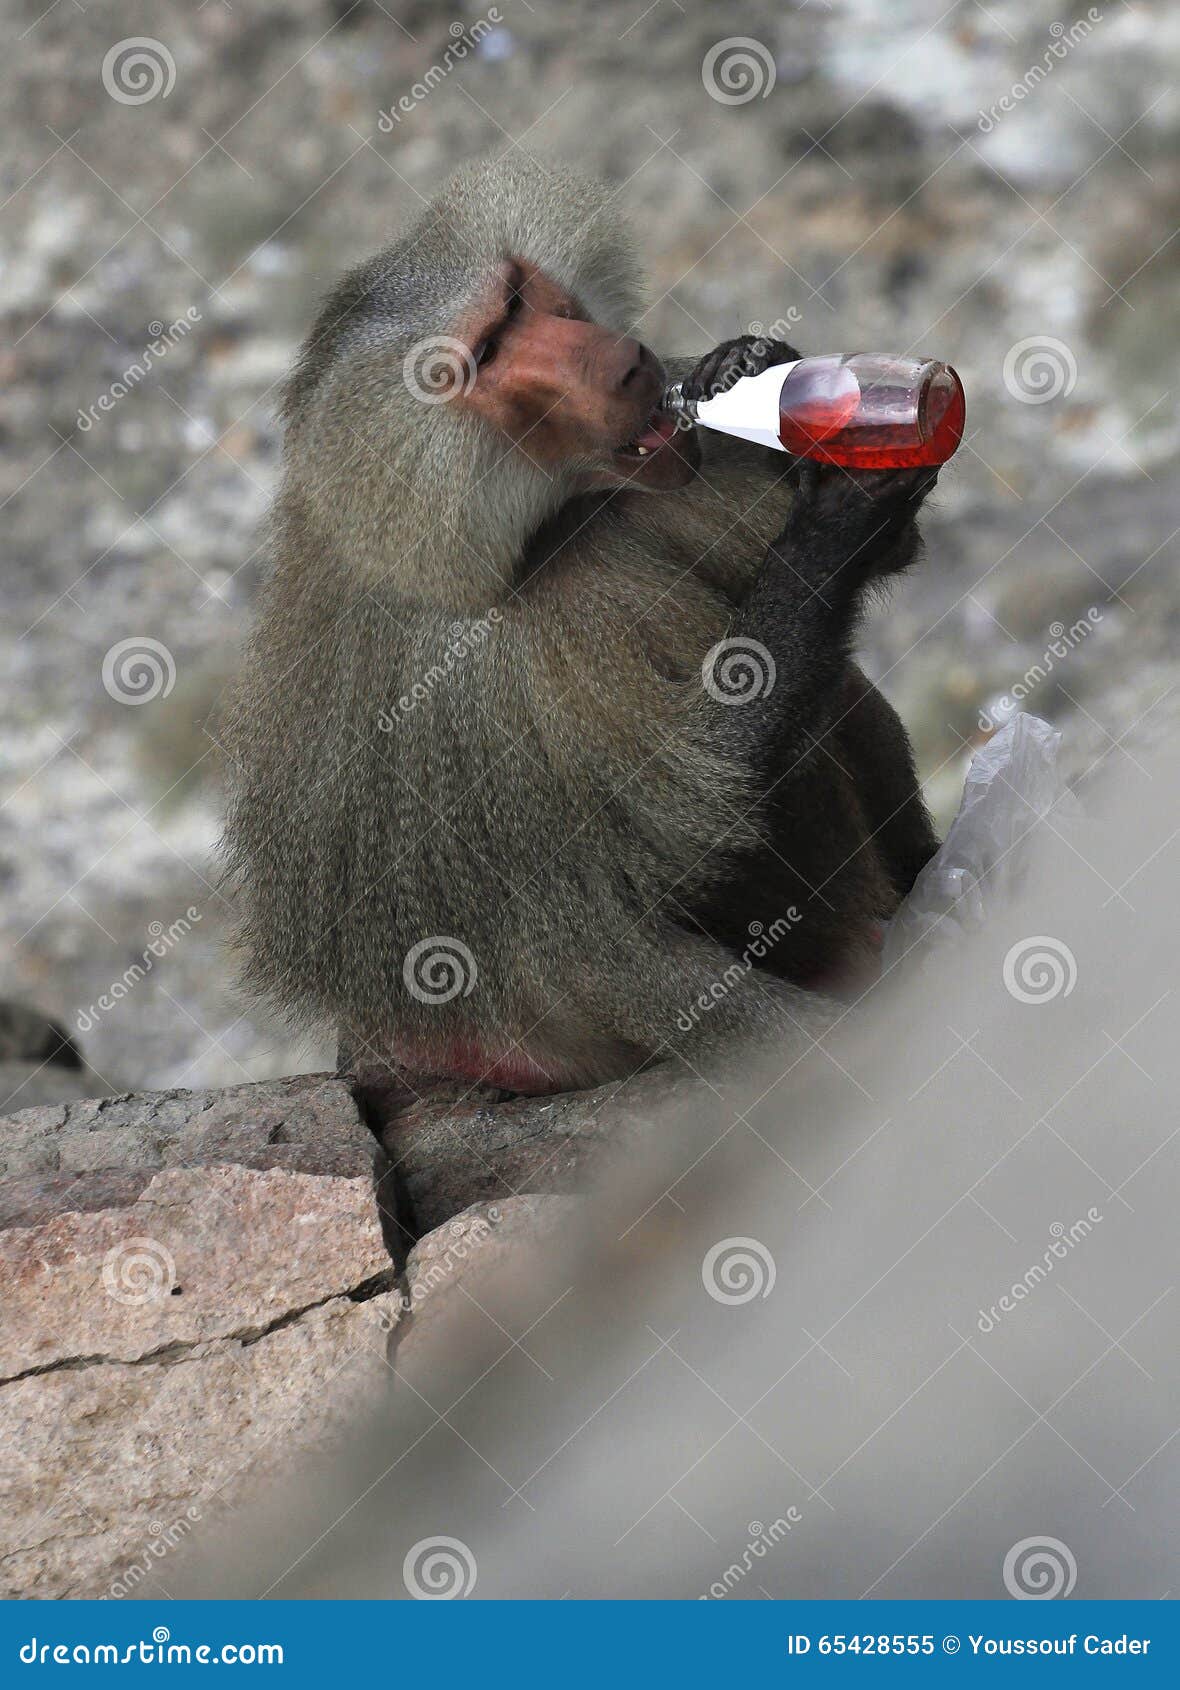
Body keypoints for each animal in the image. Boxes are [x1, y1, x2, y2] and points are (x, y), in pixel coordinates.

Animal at [218, 156, 939, 1096]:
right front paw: (838, 514)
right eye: (486, 354)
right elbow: (695, 807)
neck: (543, 529)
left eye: (523, 298)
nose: (628, 365)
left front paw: (749, 369)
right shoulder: (530, 645)